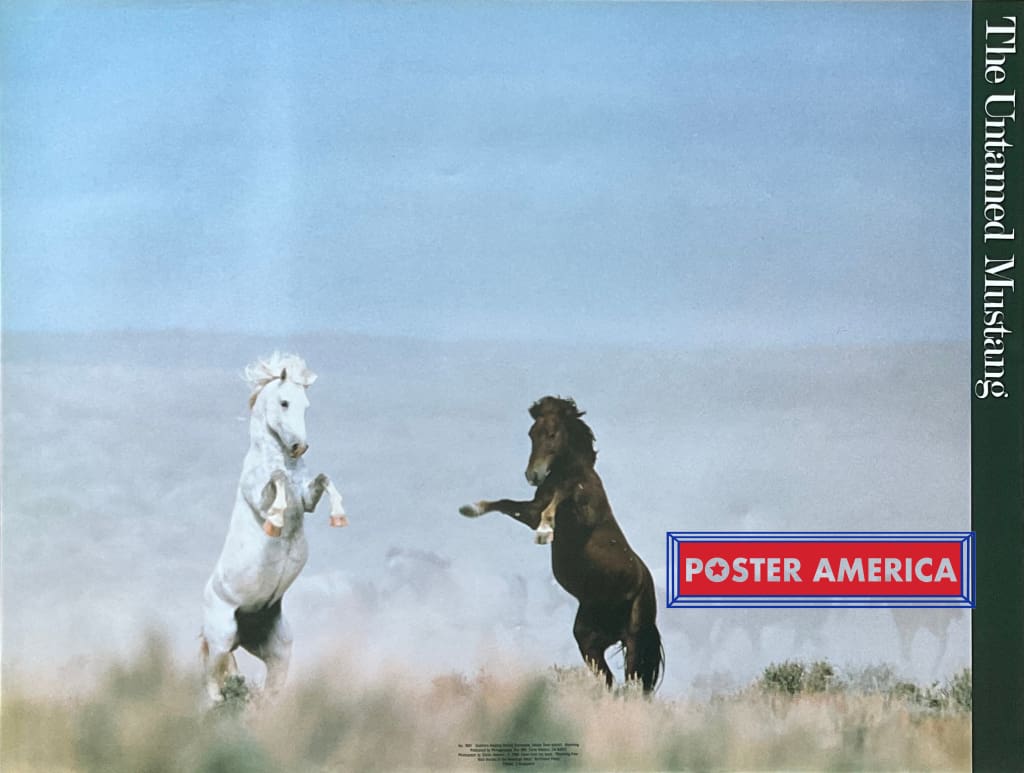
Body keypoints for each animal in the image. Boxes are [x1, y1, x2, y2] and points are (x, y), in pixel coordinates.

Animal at [200, 353, 349, 704]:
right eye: (284, 403)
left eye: (305, 405)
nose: (299, 447)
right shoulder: (260, 494)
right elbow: (277, 480)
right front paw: (277, 519)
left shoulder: (307, 498)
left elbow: (323, 479)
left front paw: (339, 516)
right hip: (221, 639)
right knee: (211, 685)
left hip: (278, 649)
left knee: (270, 693)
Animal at [459, 396, 664, 693]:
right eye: (531, 433)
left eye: (553, 434)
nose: (533, 475)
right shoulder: (531, 510)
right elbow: (506, 503)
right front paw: (471, 509)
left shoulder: (579, 509)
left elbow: (563, 495)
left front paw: (545, 533)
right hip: (589, 642)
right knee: (610, 681)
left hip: (634, 638)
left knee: (632, 682)